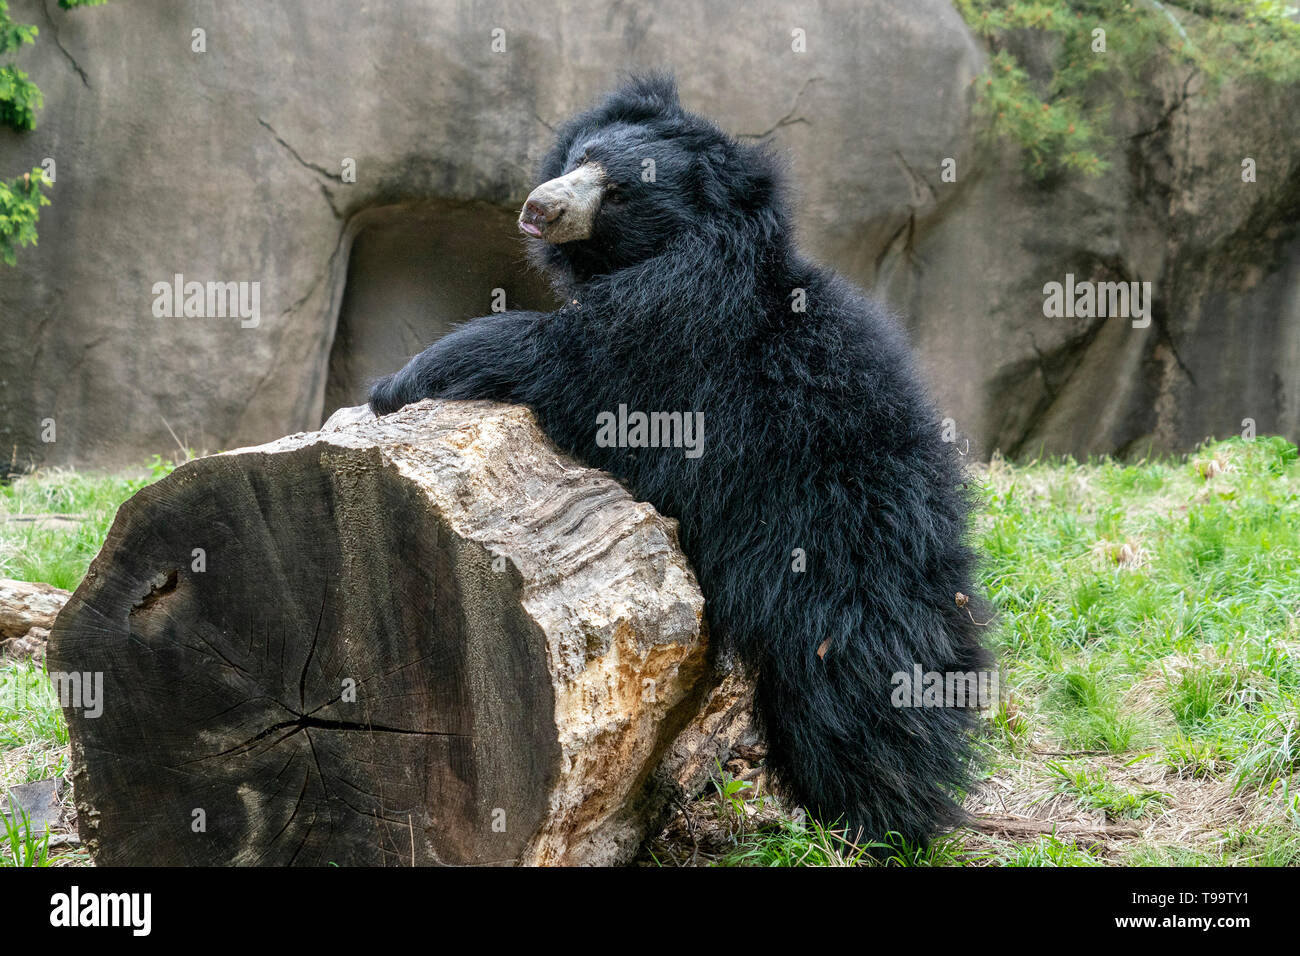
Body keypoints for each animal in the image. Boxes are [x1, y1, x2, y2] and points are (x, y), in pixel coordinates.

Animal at [370, 75, 991, 848]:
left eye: (621, 191)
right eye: (581, 155)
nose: (539, 206)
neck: (684, 257)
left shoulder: (667, 342)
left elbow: (550, 357)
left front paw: (393, 383)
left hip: (820, 552)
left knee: (852, 684)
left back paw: (877, 812)